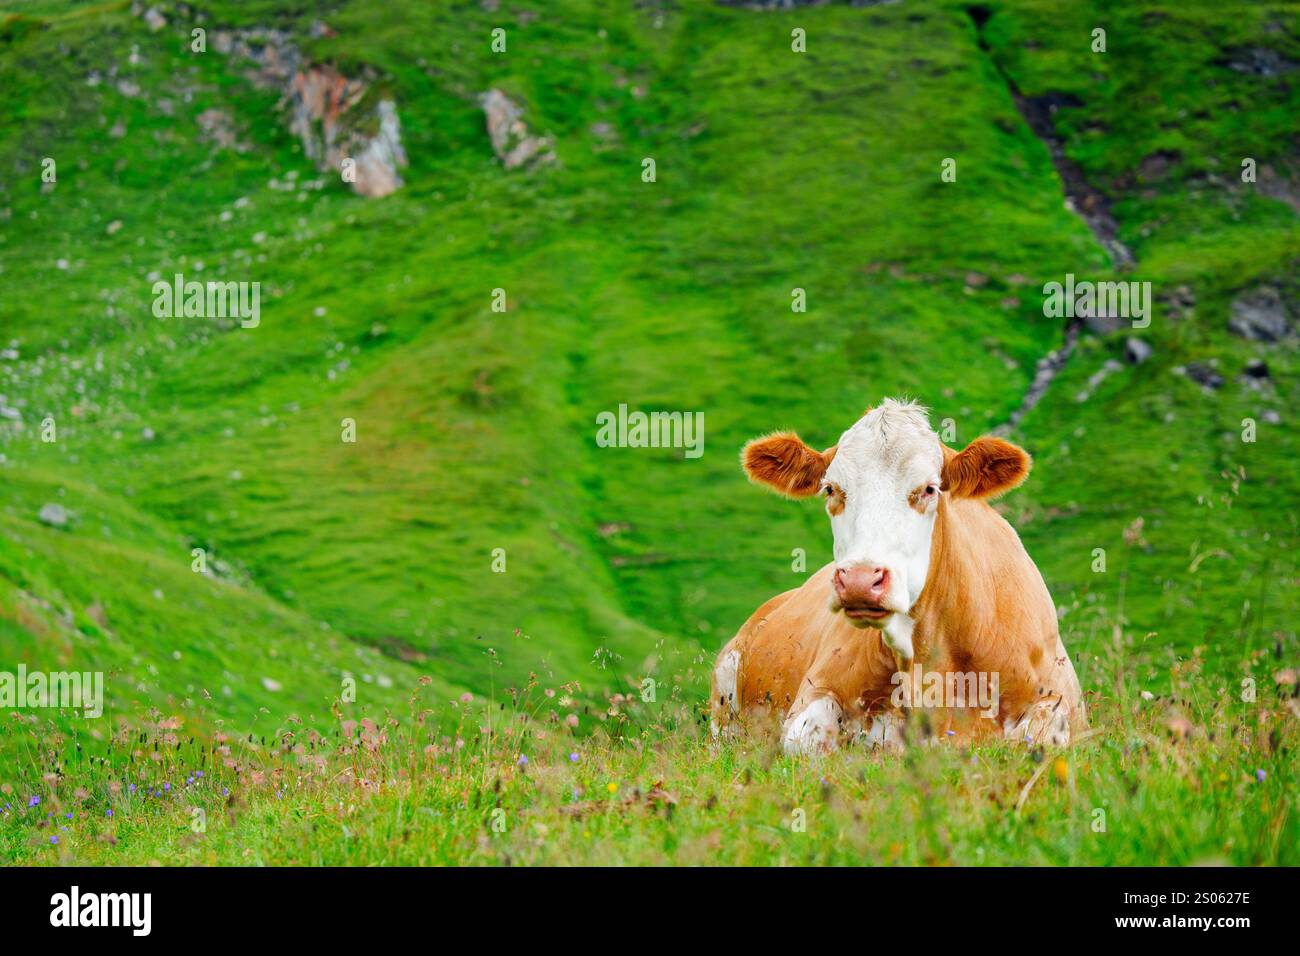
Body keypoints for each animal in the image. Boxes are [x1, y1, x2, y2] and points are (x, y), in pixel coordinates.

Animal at [711, 399, 1084, 754]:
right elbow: (807, 740)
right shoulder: (815, 692)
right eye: (831, 489)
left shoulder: (1062, 699)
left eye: (929, 489)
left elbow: (1039, 738)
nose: (860, 580)